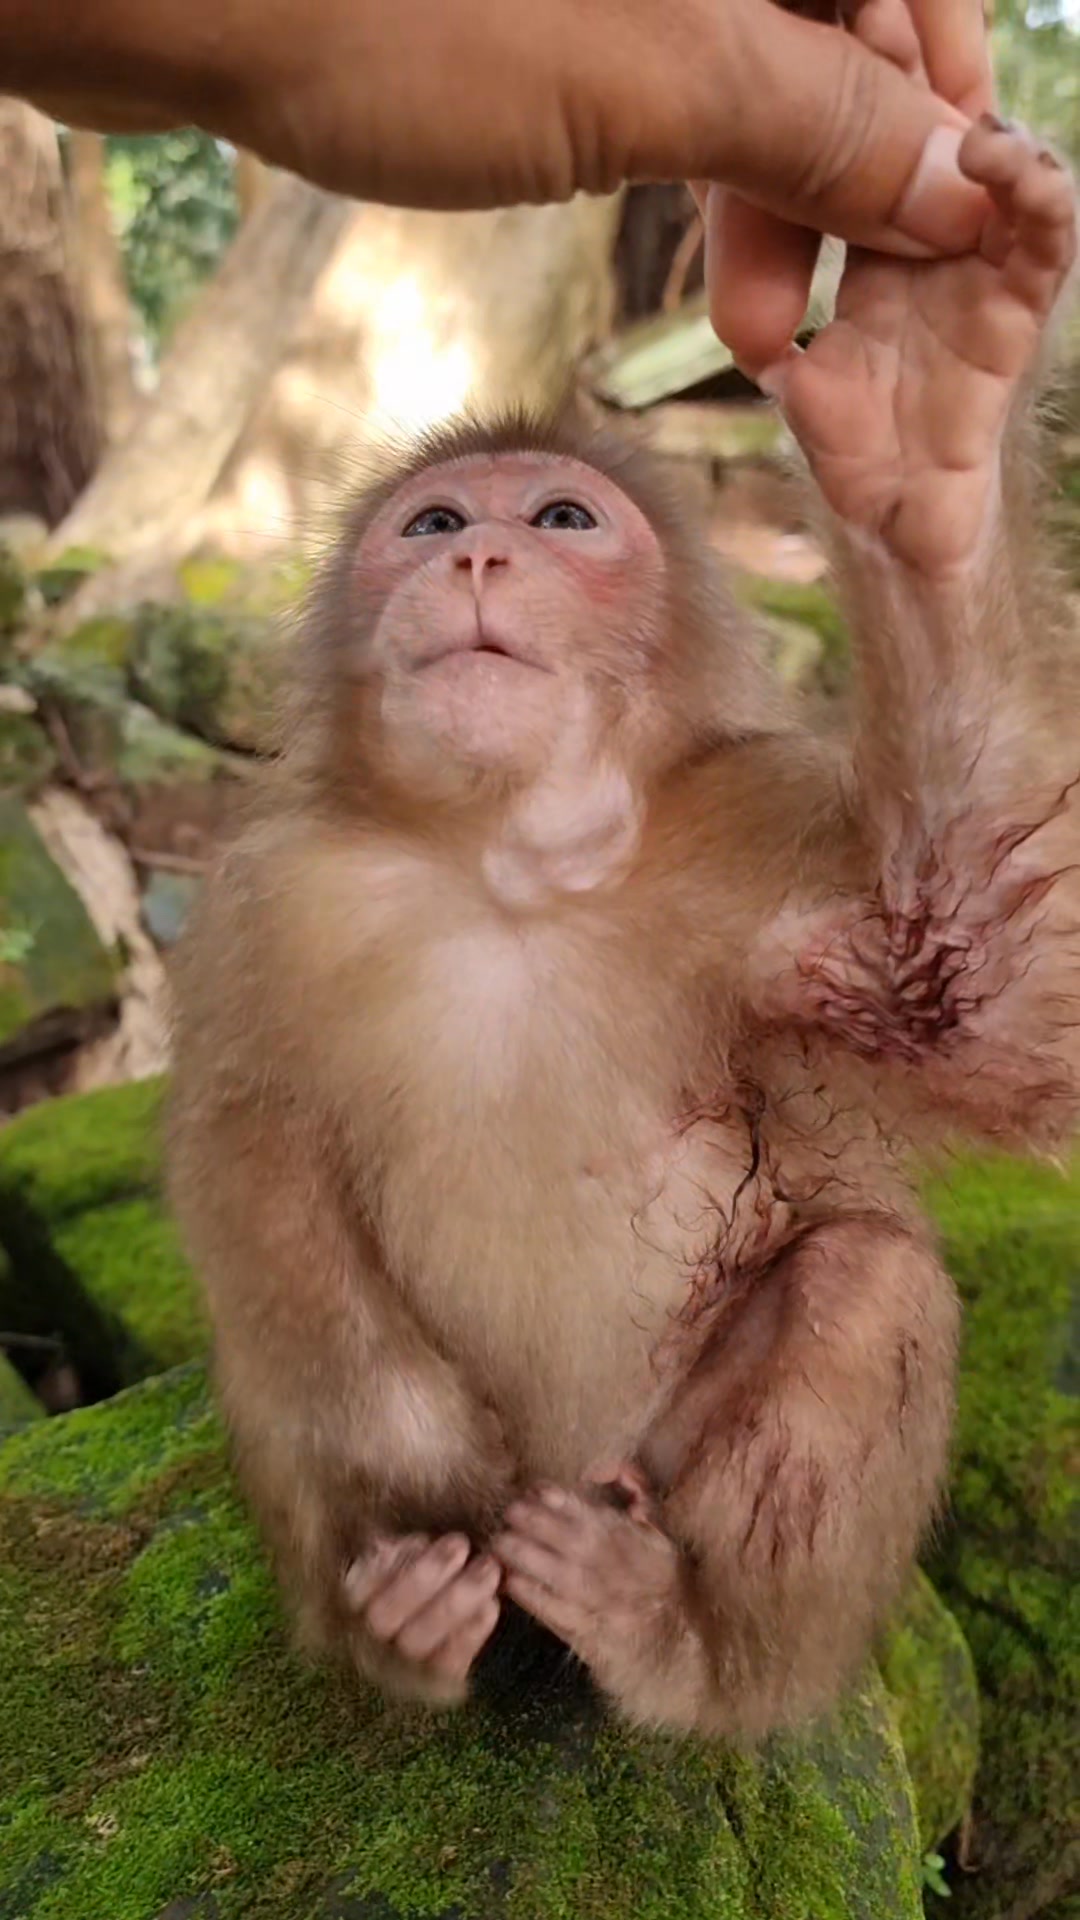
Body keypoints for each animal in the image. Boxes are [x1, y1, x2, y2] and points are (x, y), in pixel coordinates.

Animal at [167, 116, 1079, 1738]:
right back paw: (404, 1624)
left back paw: (681, 1649)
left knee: (869, 1283)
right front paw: (418, 1459)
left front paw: (931, 423)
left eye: (562, 520)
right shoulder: (268, 899)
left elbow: (994, 995)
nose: (474, 558)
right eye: (436, 520)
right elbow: (245, 1146)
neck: (514, 865)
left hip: (642, 1470)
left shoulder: (747, 830)